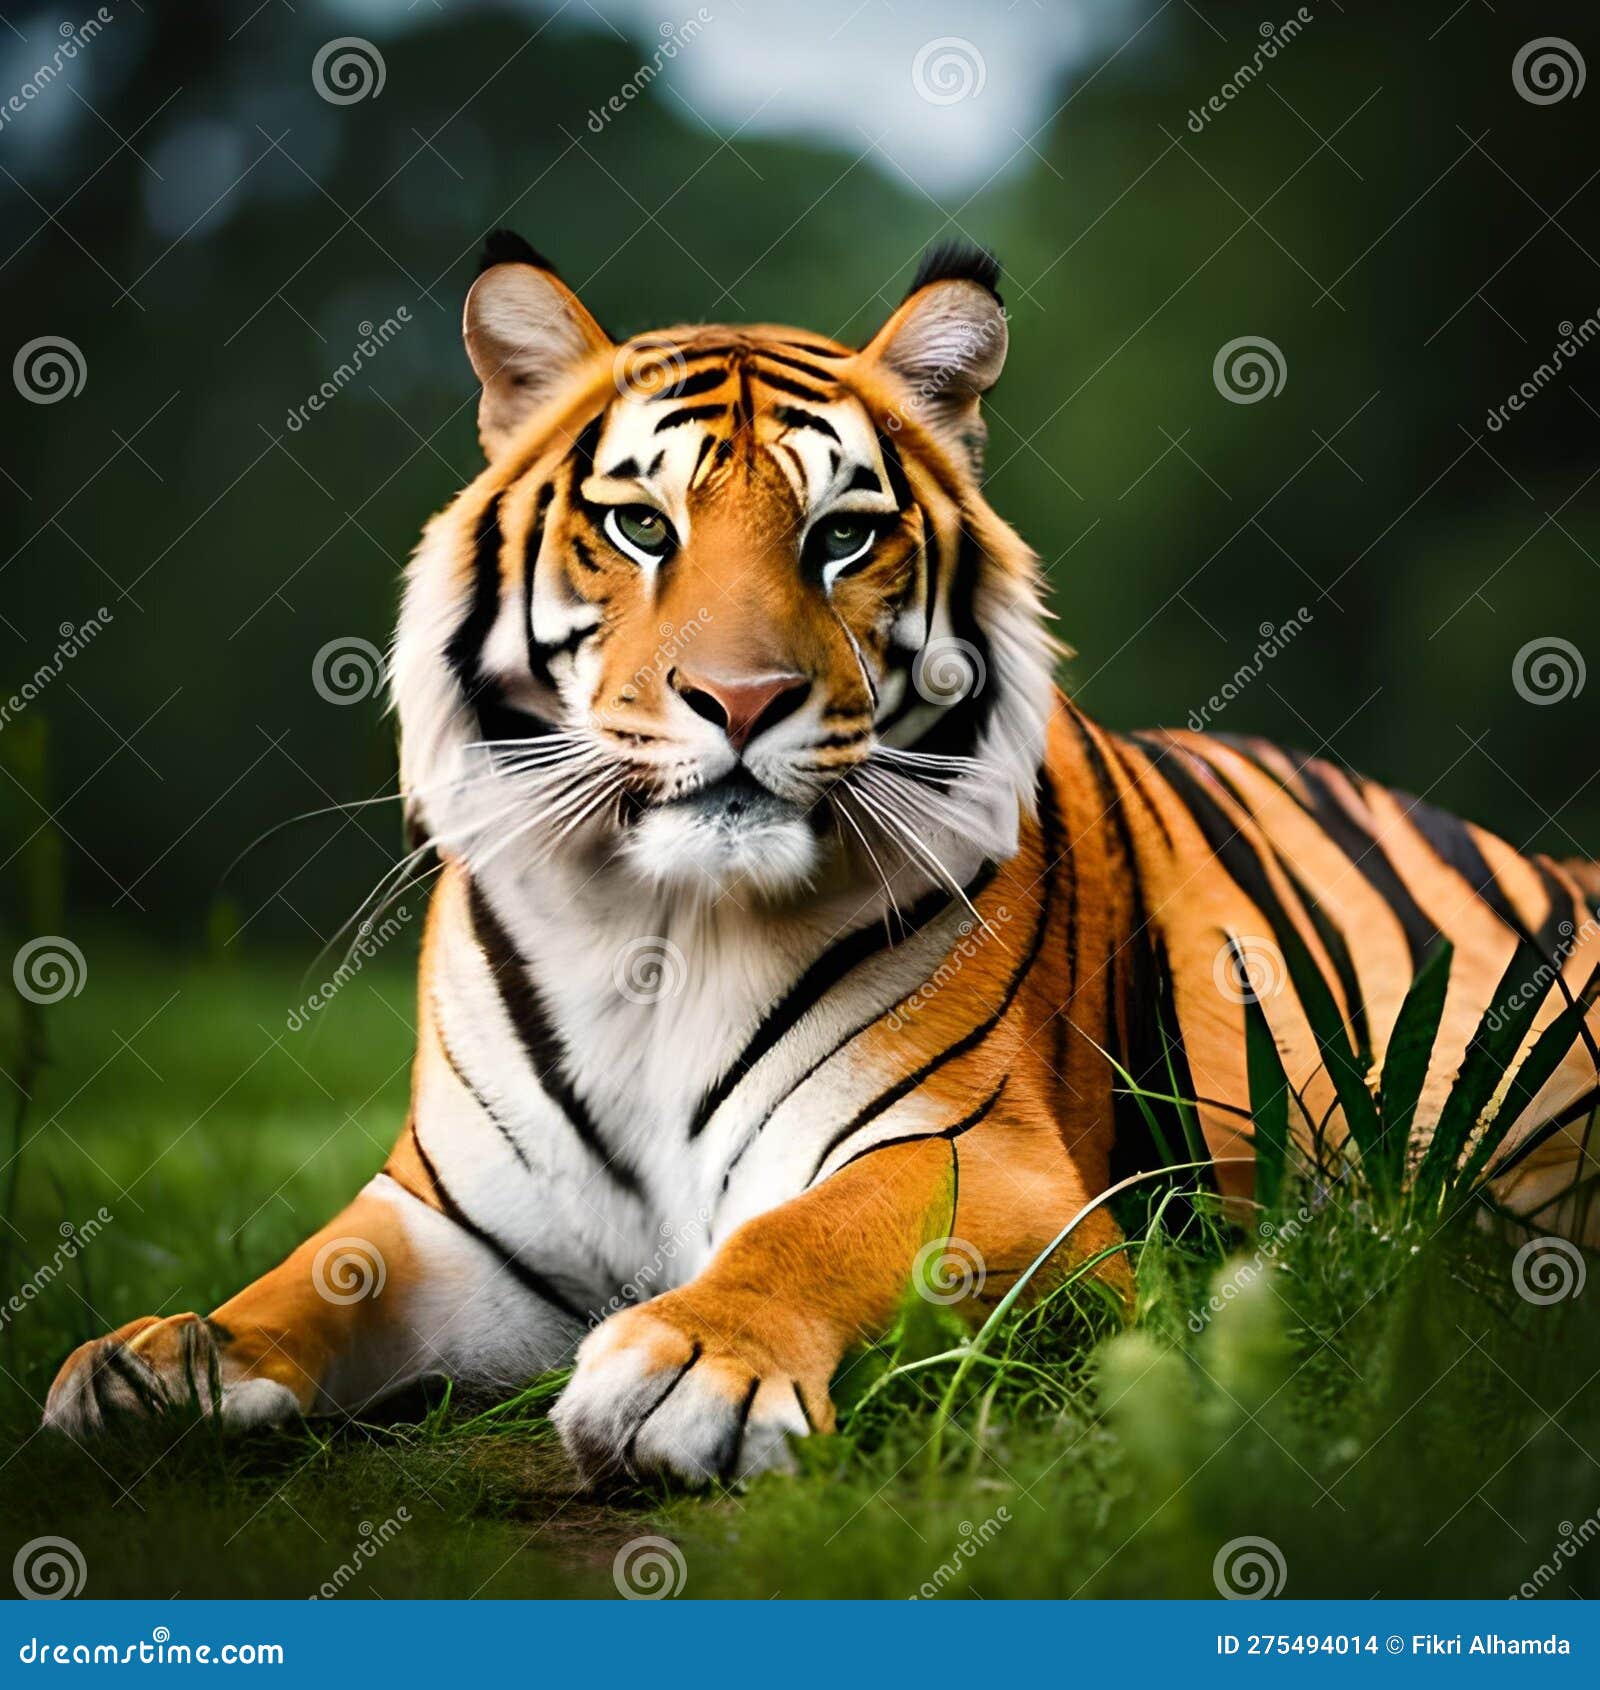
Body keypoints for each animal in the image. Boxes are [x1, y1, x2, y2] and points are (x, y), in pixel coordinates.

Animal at [46, 235, 1600, 1486]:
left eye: (843, 535)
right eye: (639, 524)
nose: (740, 700)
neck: (656, 929)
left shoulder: (990, 1166)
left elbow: (816, 1230)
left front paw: (687, 1364)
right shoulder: (454, 1226)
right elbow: (309, 1282)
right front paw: (157, 1363)